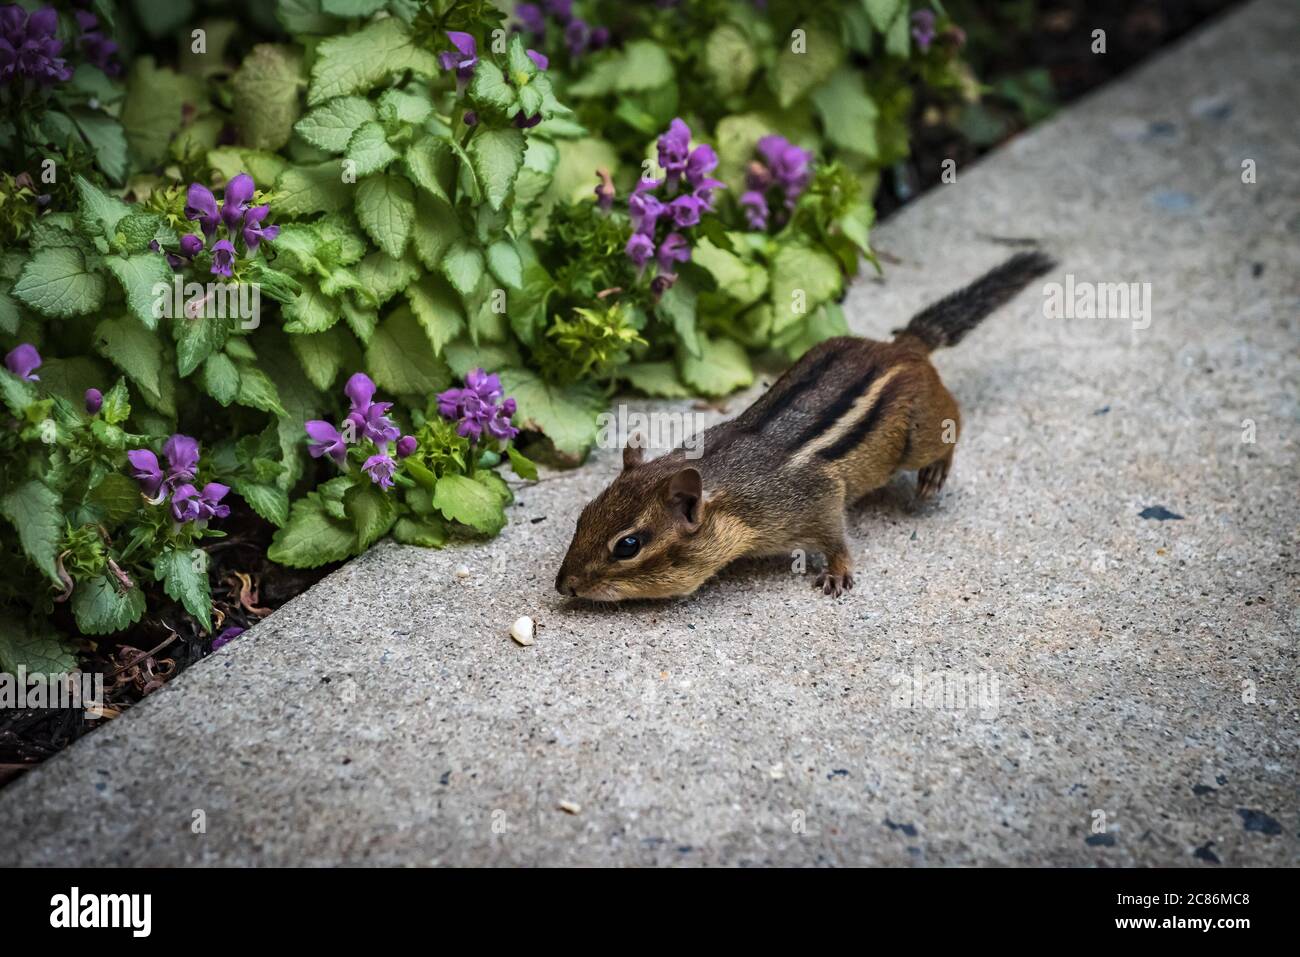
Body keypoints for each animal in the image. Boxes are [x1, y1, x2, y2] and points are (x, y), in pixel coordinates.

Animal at [556, 251, 1056, 601]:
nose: (564, 585)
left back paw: (934, 473)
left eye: (628, 545)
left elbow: (835, 535)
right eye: (582, 516)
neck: (728, 488)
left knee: (953, 424)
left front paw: (837, 571)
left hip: (922, 432)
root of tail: (903, 347)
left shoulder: (816, 497)